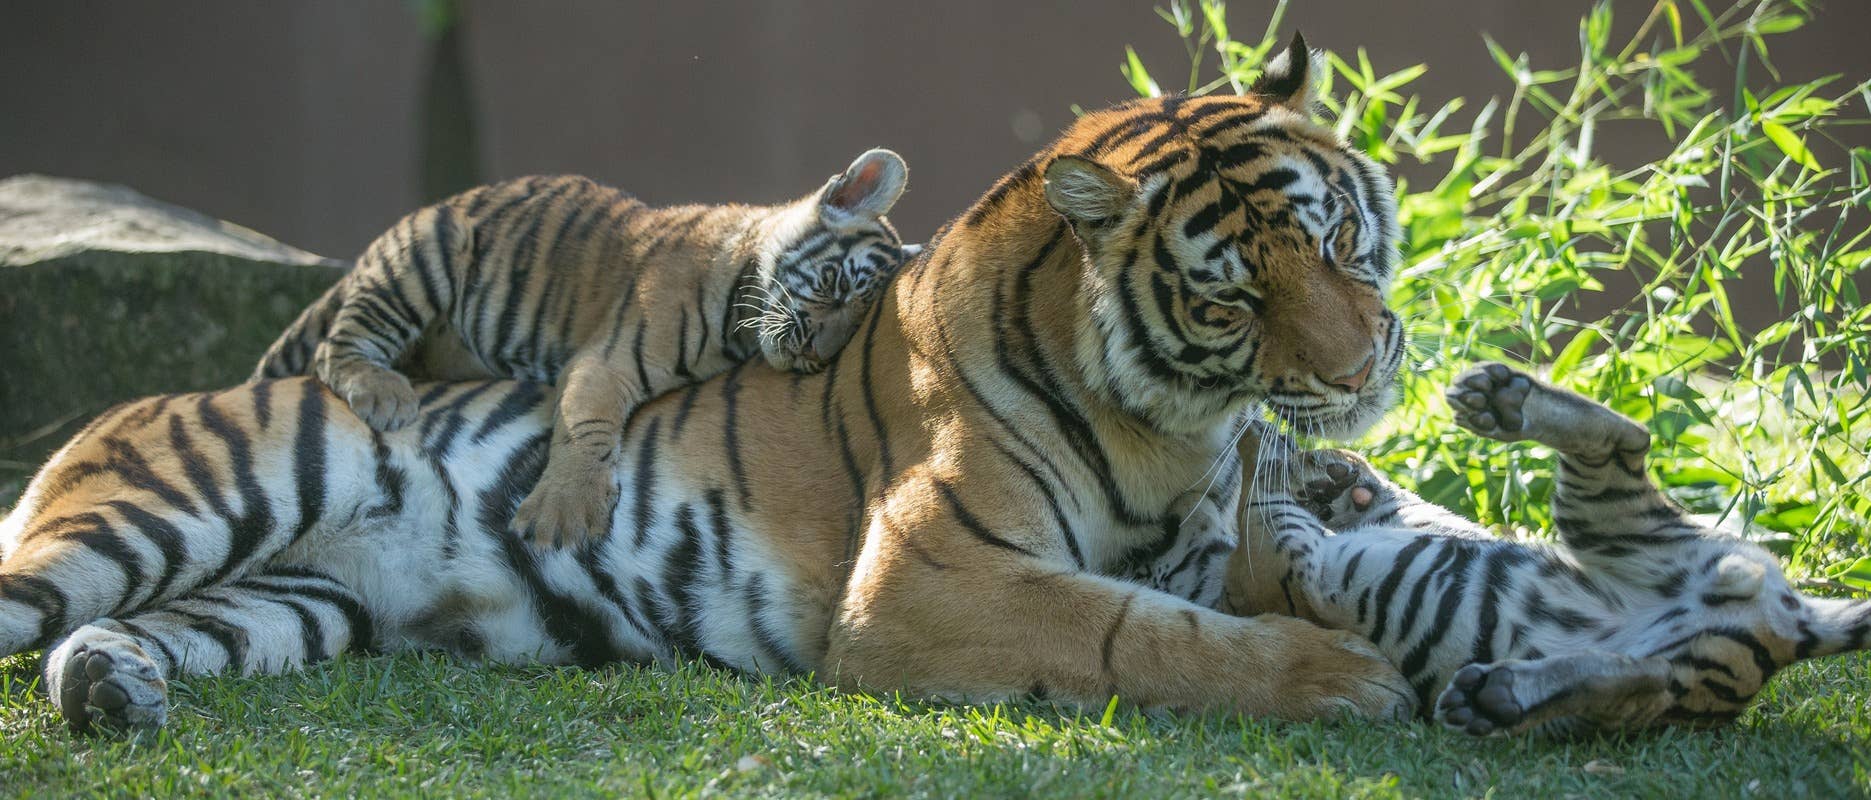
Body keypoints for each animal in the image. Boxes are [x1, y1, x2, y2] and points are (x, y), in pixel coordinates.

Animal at [251, 150, 913, 548]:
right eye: (836, 285)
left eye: (857, 324)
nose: (816, 354)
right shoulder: (607, 361)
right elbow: (588, 428)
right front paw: (562, 516)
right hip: (429, 253)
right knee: (336, 346)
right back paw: (384, 392)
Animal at [1209, 362, 1871, 737]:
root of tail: (1786, 631)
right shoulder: (1279, 566)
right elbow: (1254, 485)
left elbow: (1260, 474)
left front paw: (1323, 466)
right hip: (1617, 529)